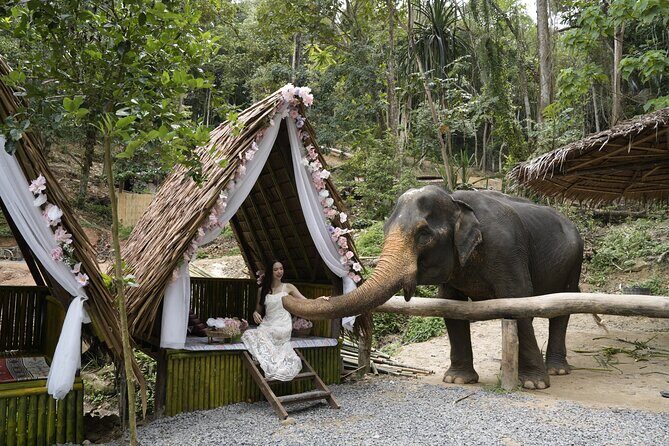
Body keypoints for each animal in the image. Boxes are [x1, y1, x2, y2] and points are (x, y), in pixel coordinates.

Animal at [283, 185, 584, 389]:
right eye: (385, 230)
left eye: (424, 234)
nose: (285, 286)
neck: (456, 200)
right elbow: (451, 308)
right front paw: (457, 380)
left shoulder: (507, 250)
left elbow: (519, 302)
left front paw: (534, 384)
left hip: (574, 260)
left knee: (564, 307)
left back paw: (557, 372)